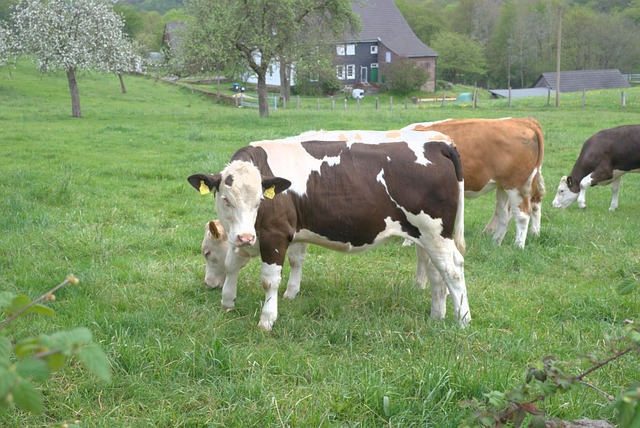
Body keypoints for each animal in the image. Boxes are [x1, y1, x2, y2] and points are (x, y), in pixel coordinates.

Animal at [188, 129, 470, 331]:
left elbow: (269, 280)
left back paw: (463, 321)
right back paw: (436, 316)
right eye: (225, 199)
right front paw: (228, 303)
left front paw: (267, 320)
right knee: (437, 275)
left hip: (435, 233)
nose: (246, 237)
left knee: (453, 271)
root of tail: (437, 144)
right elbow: (235, 264)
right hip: (425, 236)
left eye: (259, 200)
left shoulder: (273, 235)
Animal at [402, 118, 546, 249]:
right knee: (506, 213)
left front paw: (408, 241)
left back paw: (518, 245)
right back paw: (497, 241)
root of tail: (523, 120)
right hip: (504, 187)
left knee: (522, 214)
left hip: (516, 185)